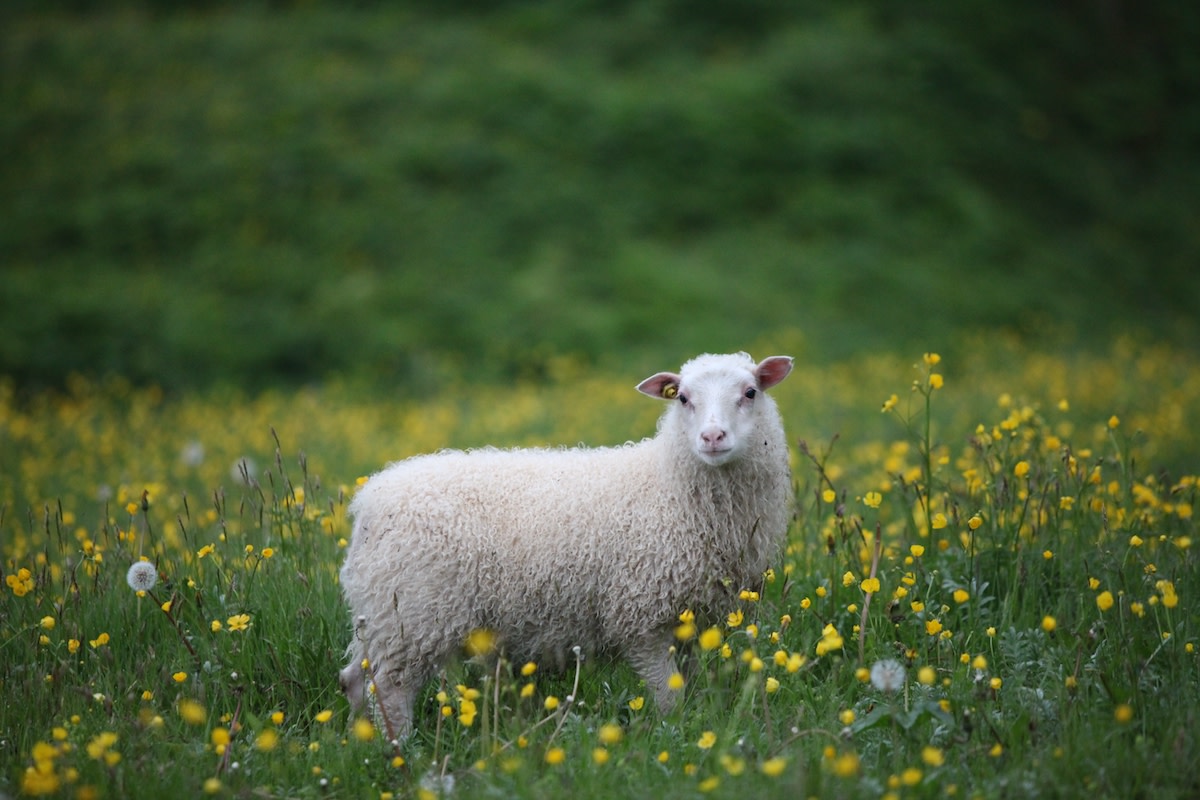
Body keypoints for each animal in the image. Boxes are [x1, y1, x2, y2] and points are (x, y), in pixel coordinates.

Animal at [338, 351, 795, 739]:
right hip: (414, 614)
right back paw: (402, 752)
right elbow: (668, 694)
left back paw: (364, 743)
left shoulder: (693, 621)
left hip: (382, 612)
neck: (668, 486)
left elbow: (688, 683)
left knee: (355, 678)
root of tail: (369, 503)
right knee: (389, 687)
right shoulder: (640, 615)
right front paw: (675, 733)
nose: (713, 437)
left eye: (750, 392)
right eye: (682, 398)